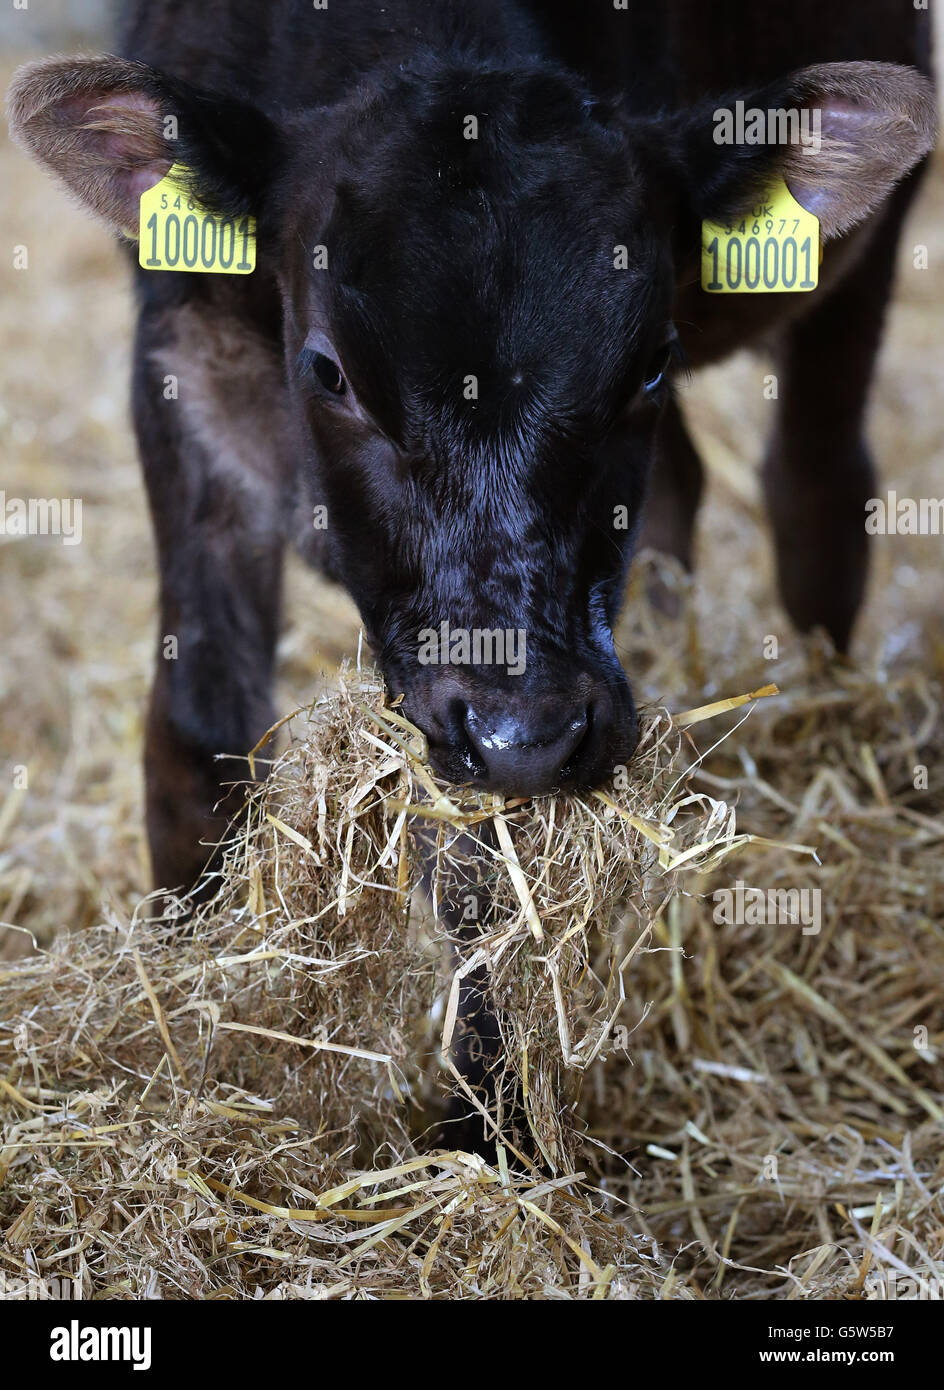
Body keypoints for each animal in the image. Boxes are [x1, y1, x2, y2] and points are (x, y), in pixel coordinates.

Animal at [8, 1, 936, 1144]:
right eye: (328, 372)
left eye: (650, 361)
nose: (524, 732)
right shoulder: (182, 365)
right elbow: (195, 737)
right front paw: (192, 1013)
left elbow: (479, 871)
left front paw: (485, 1130)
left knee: (814, 482)